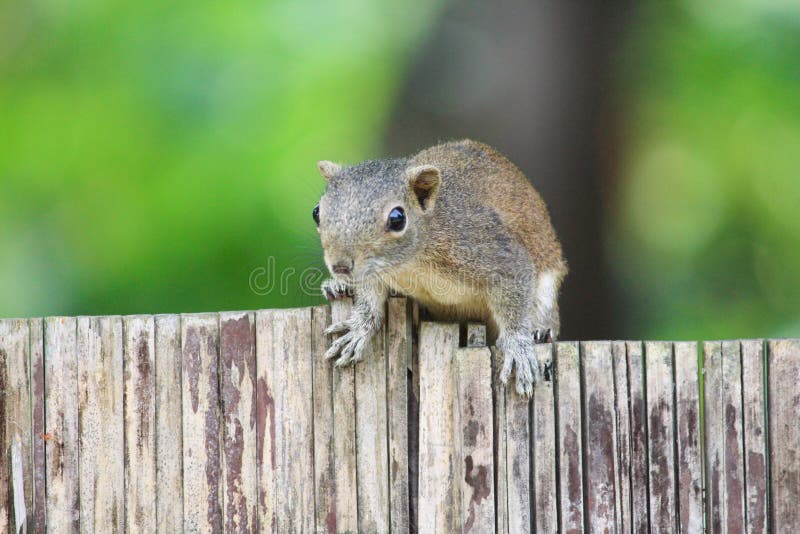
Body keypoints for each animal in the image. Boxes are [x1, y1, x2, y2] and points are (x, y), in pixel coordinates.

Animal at [314, 139, 566, 397]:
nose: (340, 266)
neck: (408, 264)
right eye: (316, 212)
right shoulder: (373, 274)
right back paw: (337, 287)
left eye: (397, 218)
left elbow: (515, 284)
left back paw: (540, 331)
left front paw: (517, 346)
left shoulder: (491, 249)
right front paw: (359, 329)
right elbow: (369, 302)